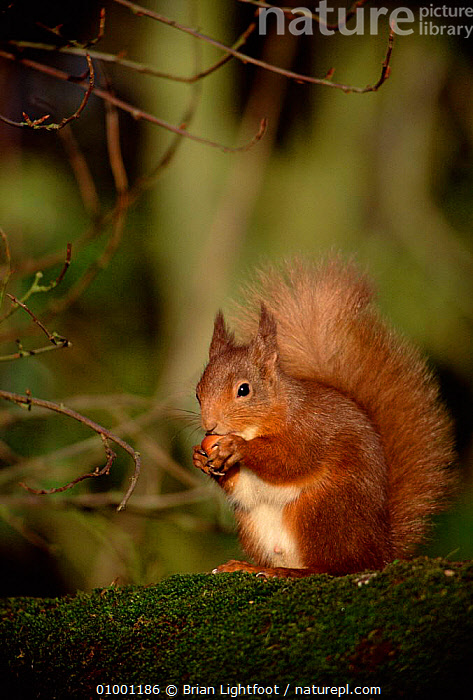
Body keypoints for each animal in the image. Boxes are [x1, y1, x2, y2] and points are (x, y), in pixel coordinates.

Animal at [193, 258, 455, 578]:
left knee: (334, 567)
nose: (210, 426)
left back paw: (291, 572)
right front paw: (200, 457)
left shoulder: (311, 428)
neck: (262, 421)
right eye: (197, 393)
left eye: (244, 390)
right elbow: (237, 483)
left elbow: (291, 459)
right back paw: (247, 566)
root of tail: (380, 551)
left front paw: (236, 447)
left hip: (322, 510)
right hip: (254, 523)